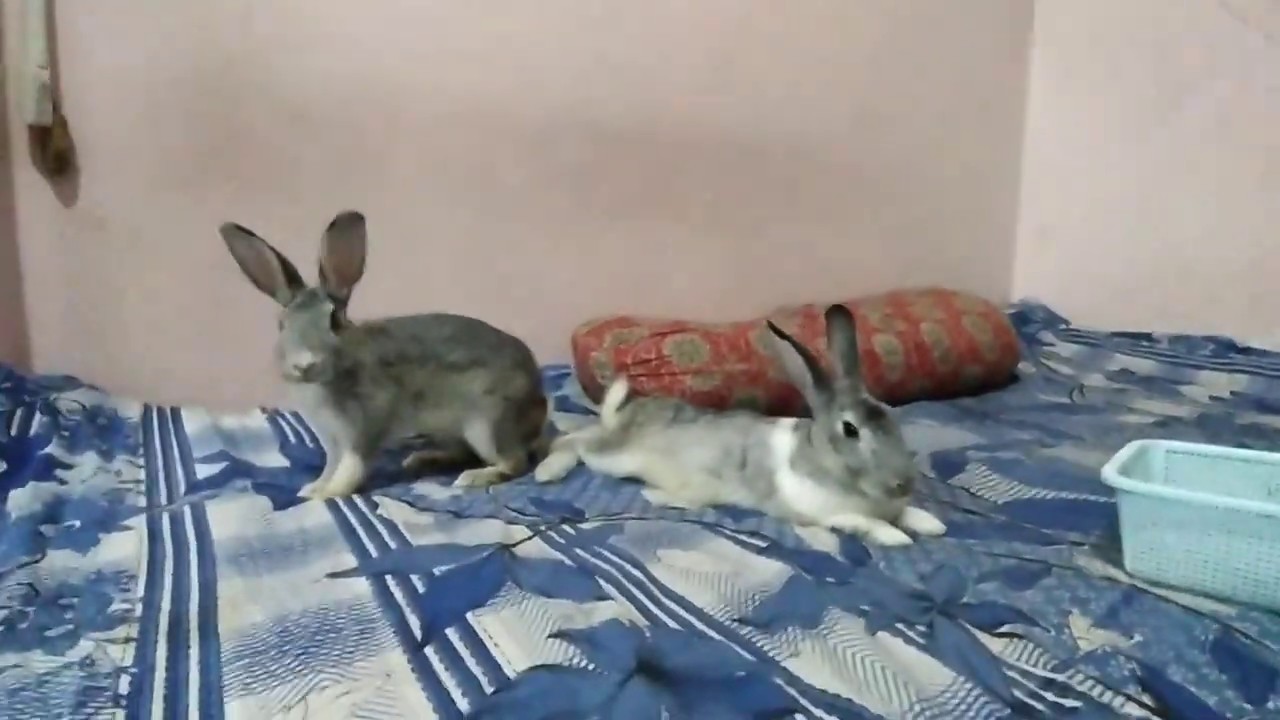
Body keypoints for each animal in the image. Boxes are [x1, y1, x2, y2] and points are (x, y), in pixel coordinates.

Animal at [219, 210, 549, 500]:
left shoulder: (365, 425)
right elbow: (331, 464)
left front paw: (326, 495)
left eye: (334, 320)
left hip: (487, 425)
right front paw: (313, 487)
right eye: (281, 324)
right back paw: (422, 459)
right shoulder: (330, 436)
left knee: (516, 462)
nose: (304, 364)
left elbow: (351, 466)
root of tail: (538, 399)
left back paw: (475, 477)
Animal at [533, 304, 946, 546]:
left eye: (889, 413)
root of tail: (623, 416)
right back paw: (547, 472)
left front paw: (931, 525)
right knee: (571, 442)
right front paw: (898, 539)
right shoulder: (822, 512)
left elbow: (908, 514)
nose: (904, 484)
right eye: (850, 430)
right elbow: (863, 522)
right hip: (614, 457)